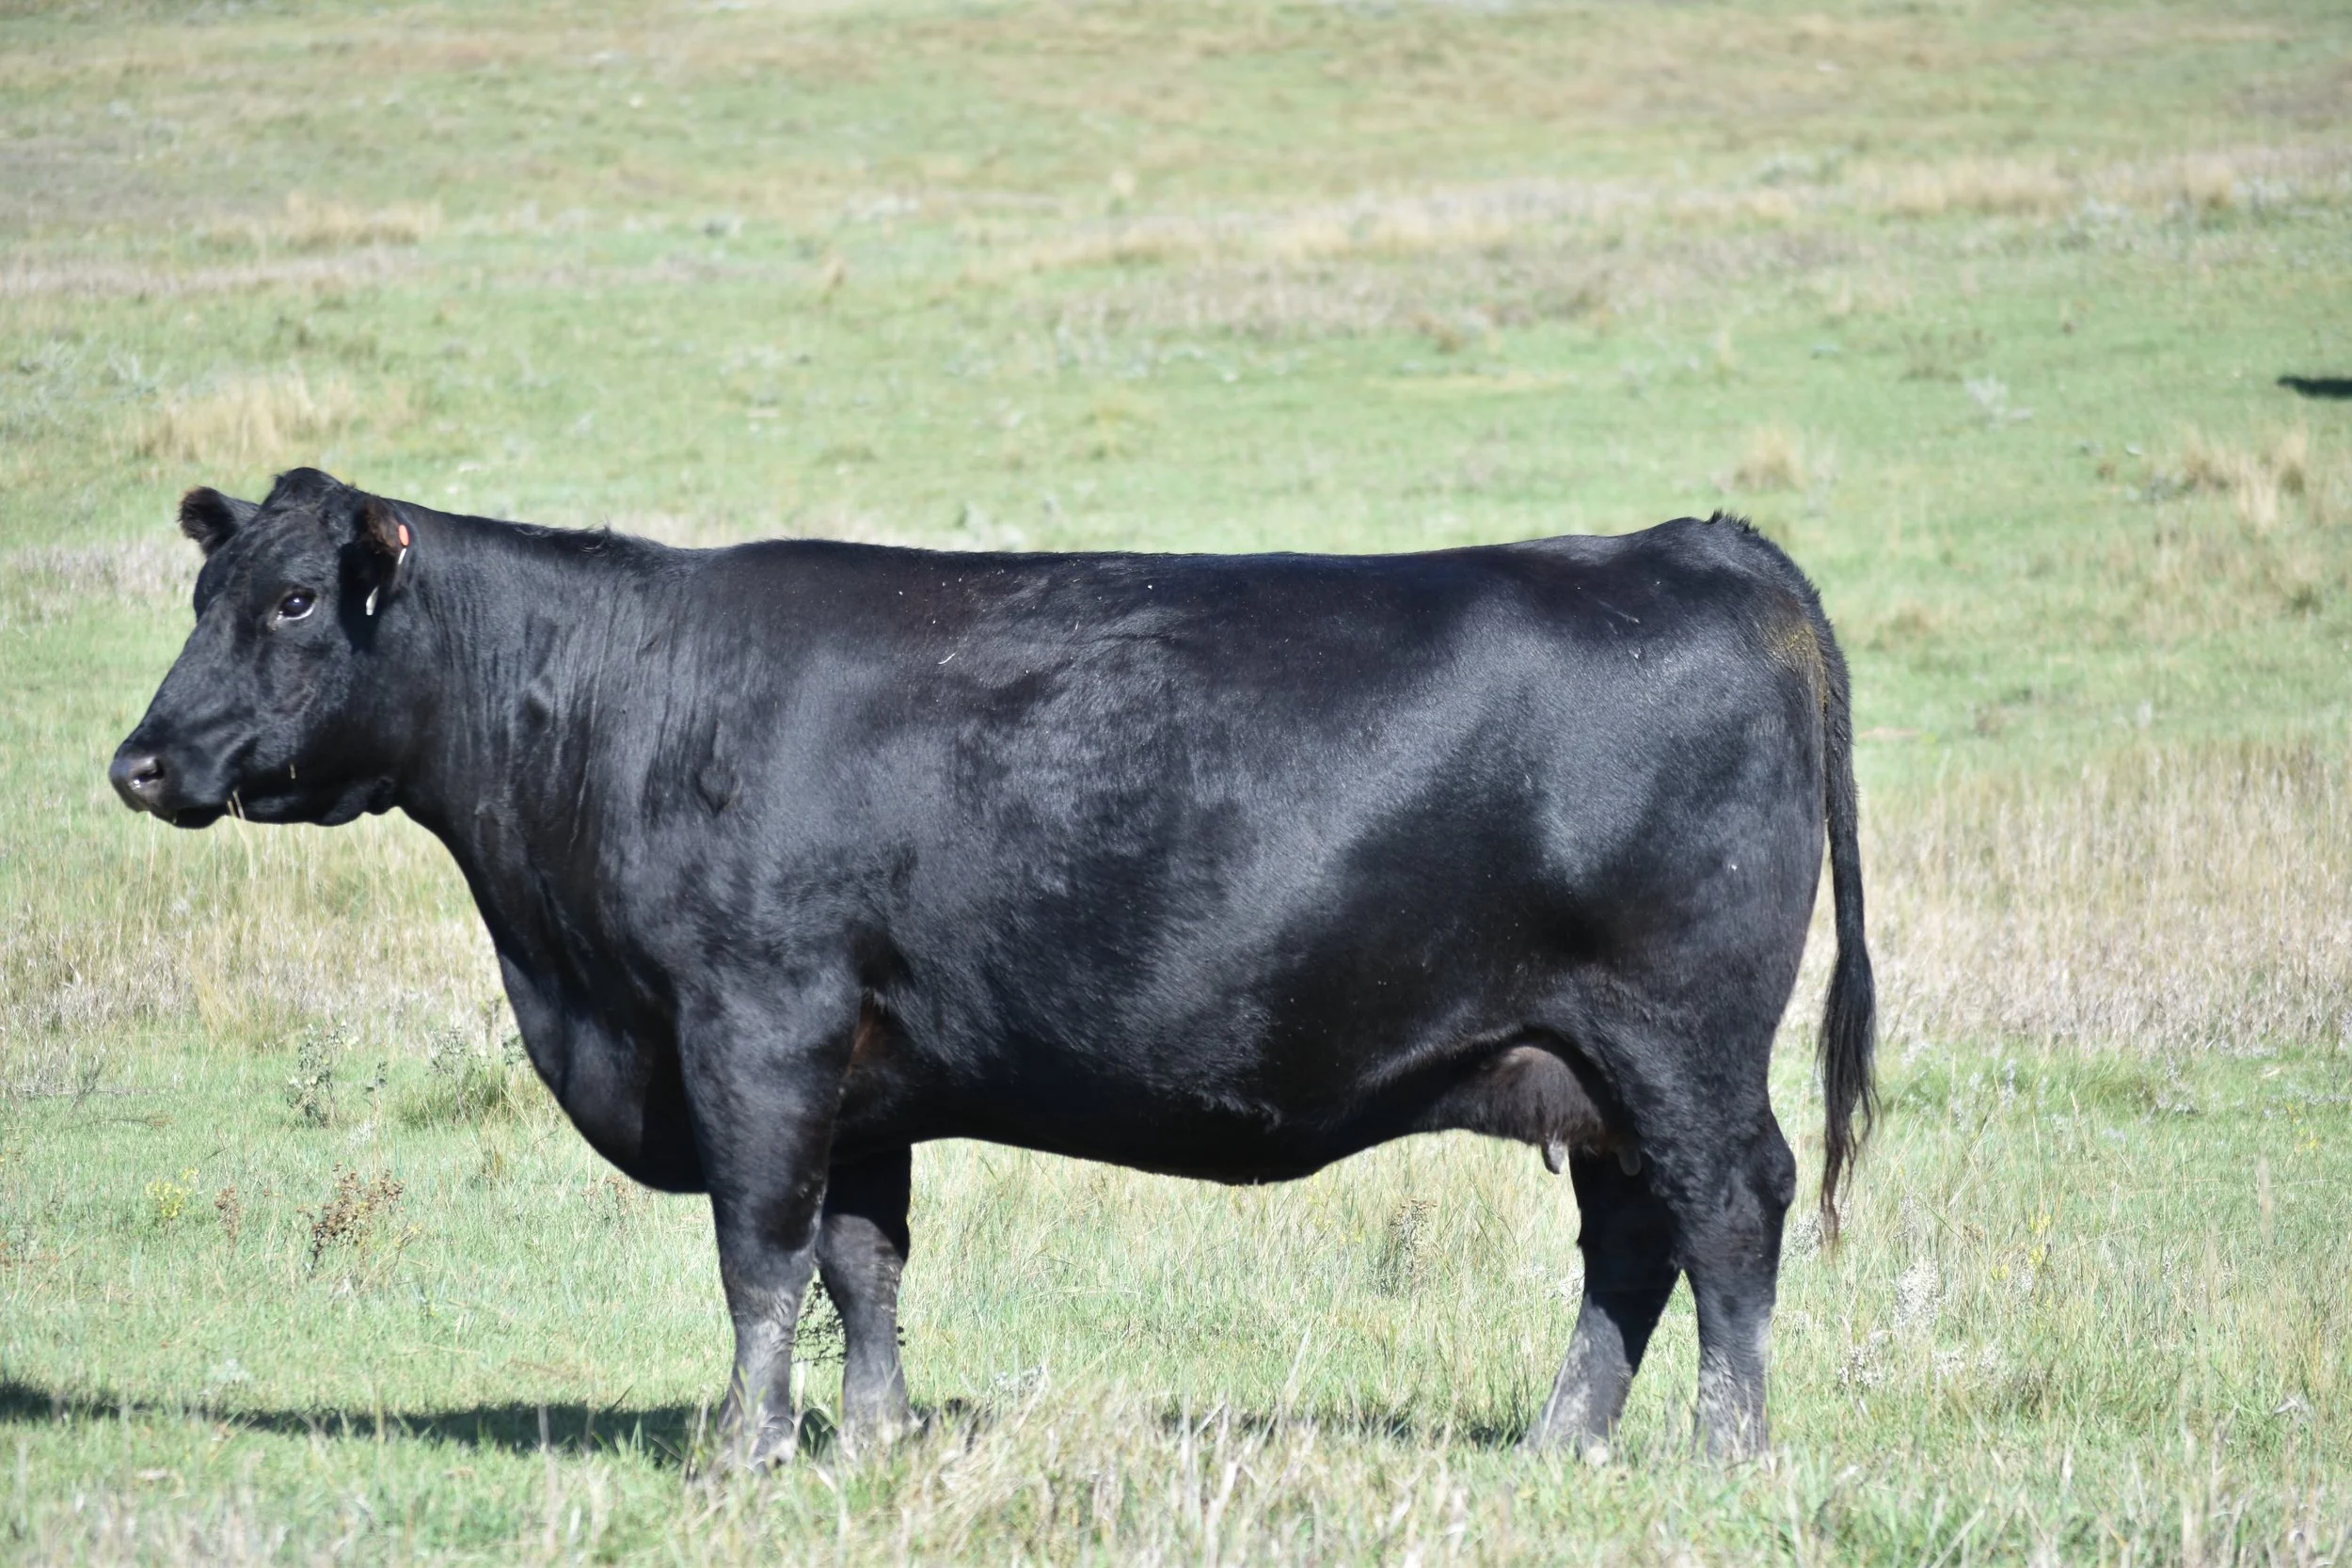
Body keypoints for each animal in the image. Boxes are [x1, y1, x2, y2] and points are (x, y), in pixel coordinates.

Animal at [111, 468, 1874, 1466]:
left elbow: (761, 1253)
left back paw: (1725, 1450)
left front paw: (743, 1452)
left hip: (1679, 1037)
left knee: (1729, 1212)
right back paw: (1562, 1444)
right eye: (199, 590)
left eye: (292, 599)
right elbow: (863, 1260)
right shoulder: (867, 1076)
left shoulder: (757, 1024)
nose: (138, 761)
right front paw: (879, 1445)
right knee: (1630, 1237)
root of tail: (1710, 548)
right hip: (1589, 1063)